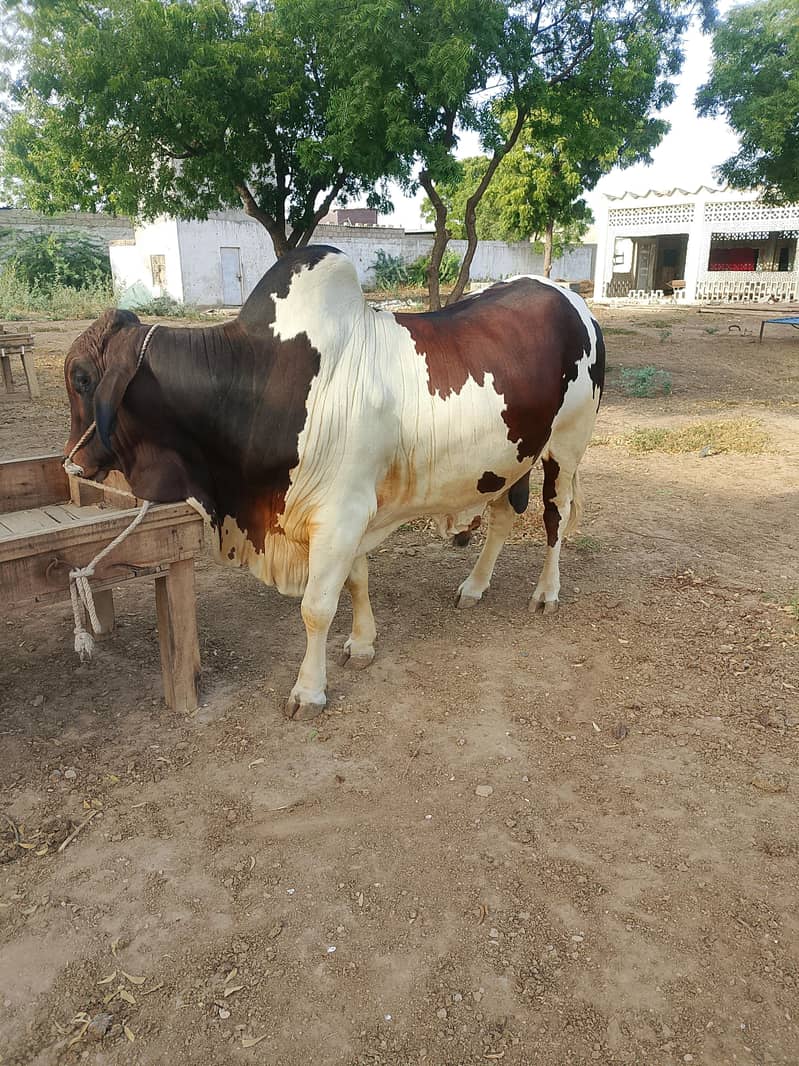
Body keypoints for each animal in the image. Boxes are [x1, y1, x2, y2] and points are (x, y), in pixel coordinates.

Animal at [64, 246, 605, 720]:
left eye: (81, 378)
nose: (73, 464)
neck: (255, 382)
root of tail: (571, 298)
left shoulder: (340, 515)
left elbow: (317, 608)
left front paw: (309, 692)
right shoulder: (351, 511)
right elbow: (357, 580)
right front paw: (362, 644)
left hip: (565, 447)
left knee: (554, 519)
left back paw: (546, 593)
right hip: (511, 458)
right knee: (502, 515)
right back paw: (474, 586)